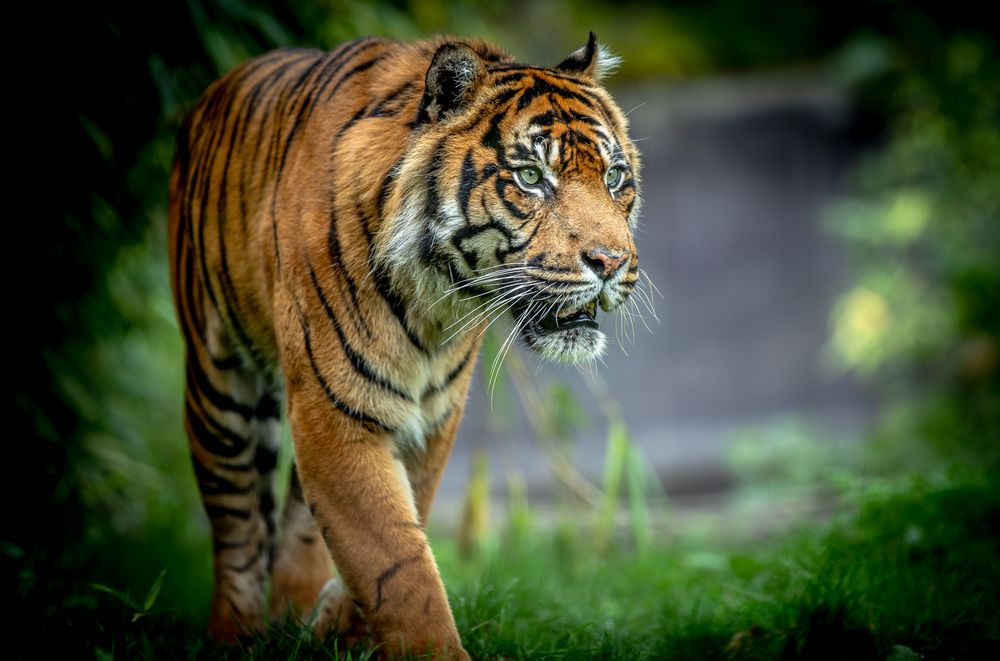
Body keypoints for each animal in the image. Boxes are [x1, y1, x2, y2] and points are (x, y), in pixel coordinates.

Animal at [168, 32, 642, 659]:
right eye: (530, 177)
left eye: (614, 178)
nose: (611, 262)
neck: (435, 302)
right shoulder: (336, 416)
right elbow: (395, 561)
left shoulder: (429, 420)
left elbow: (386, 536)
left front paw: (338, 625)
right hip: (219, 387)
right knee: (238, 529)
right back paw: (234, 636)